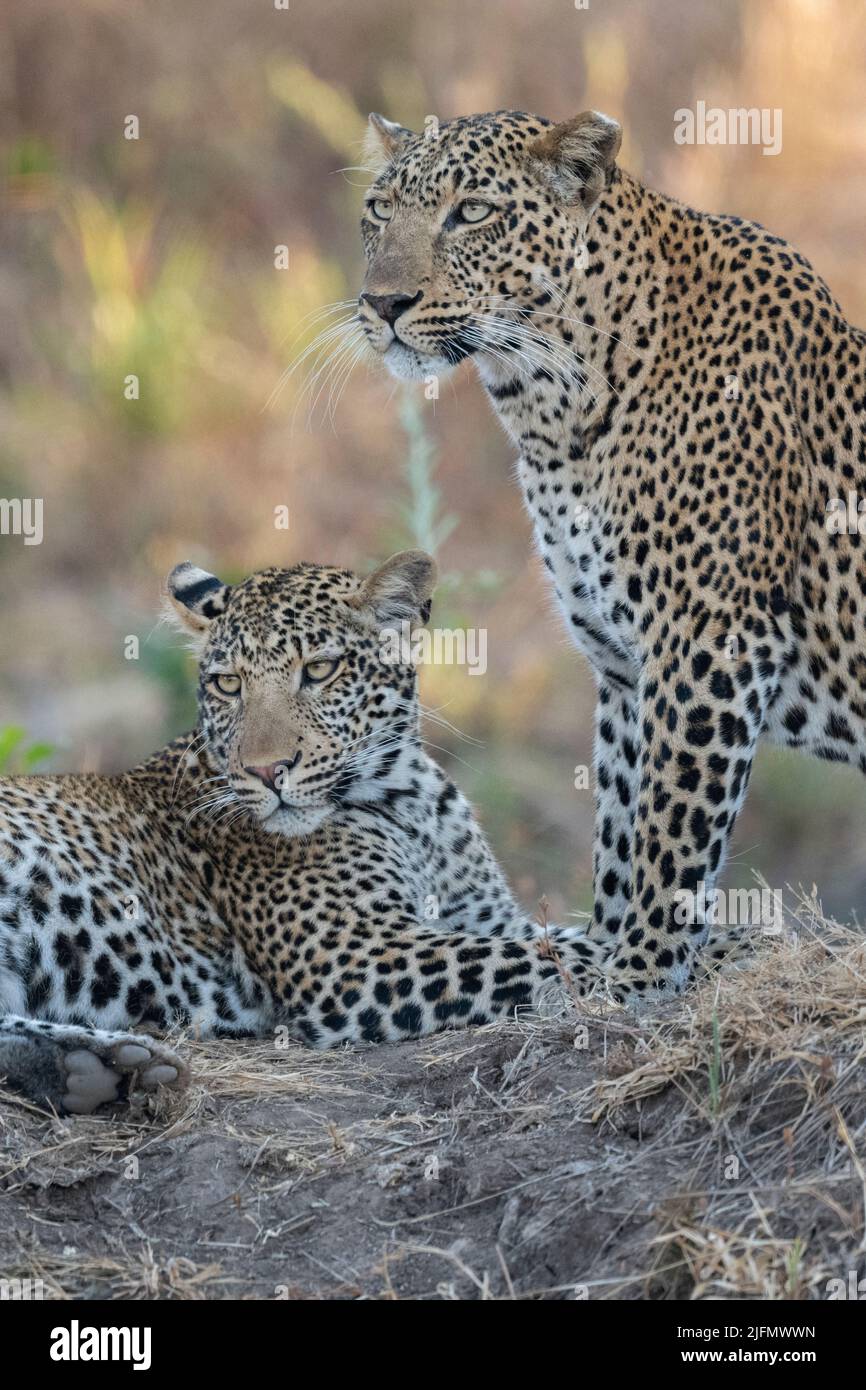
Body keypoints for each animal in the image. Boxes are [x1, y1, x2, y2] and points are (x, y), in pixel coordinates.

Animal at [0, 549, 604, 1115]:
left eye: (319, 671)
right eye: (228, 684)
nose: (267, 771)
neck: (406, 797)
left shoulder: (488, 918)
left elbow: (555, 938)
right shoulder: (355, 953)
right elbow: (553, 953)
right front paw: (627, 959)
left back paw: (89, 1066)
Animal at [355, 106, 866, 1005]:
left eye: (472, 213)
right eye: (380, 211)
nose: (384, 302)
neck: (553, 405)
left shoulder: (711, 640)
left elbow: (672, 829)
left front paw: (638, 976)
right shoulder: (626, 664)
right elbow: (623, 825)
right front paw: (609, 963)